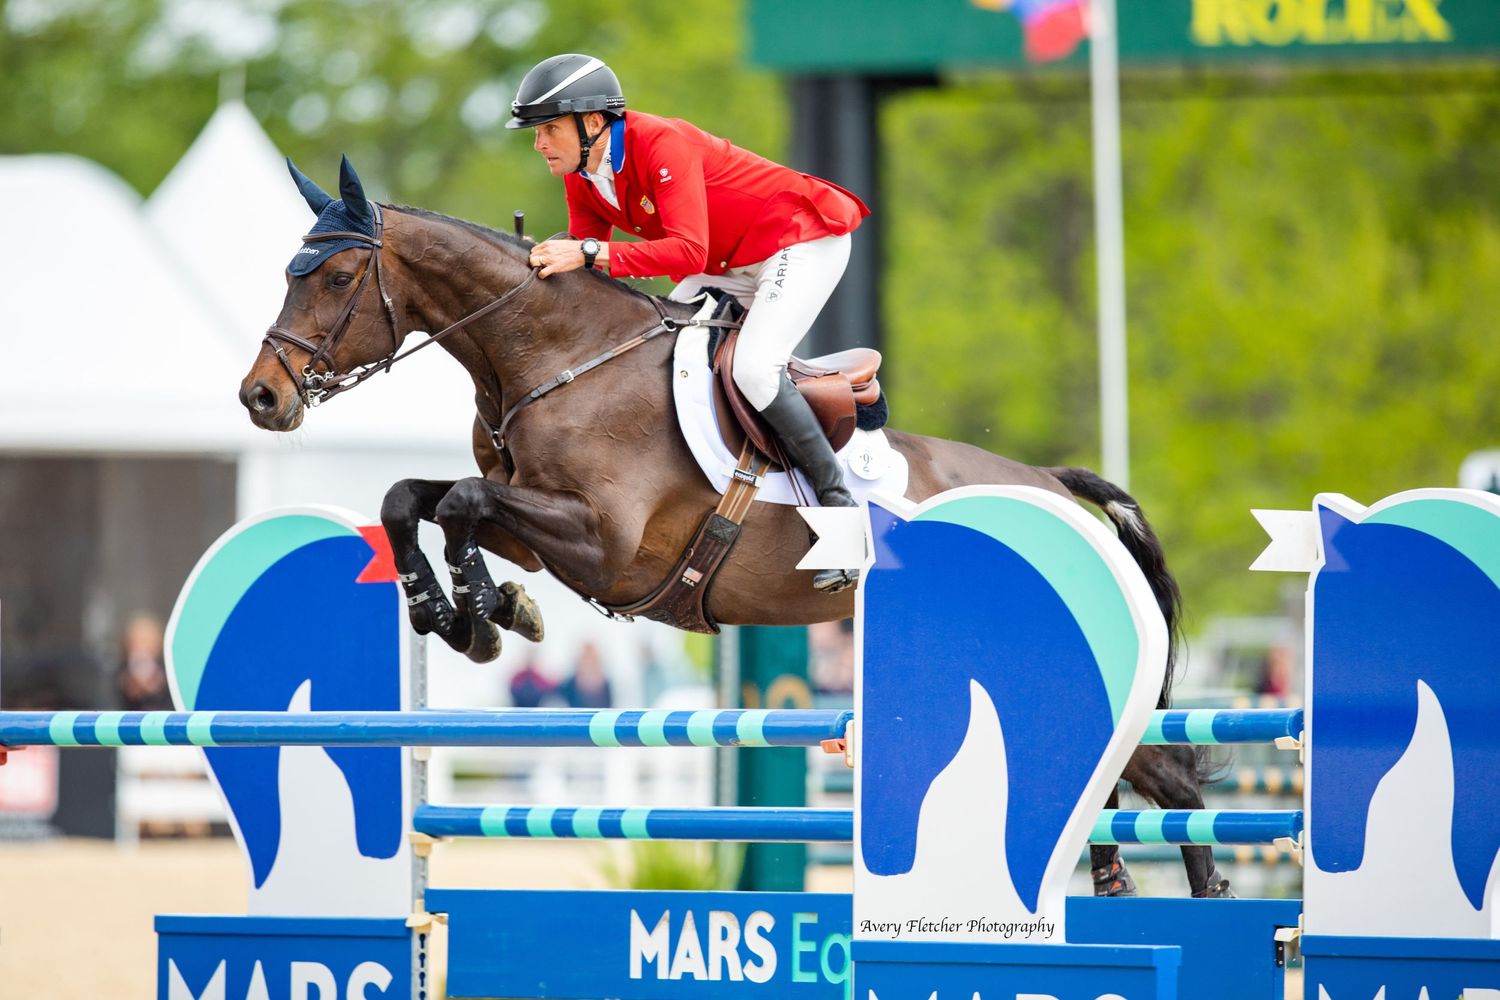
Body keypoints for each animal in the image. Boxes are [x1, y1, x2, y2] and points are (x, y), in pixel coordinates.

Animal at [238, 157, 1232, 898]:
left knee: (1174, 783)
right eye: (287, 273)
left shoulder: (603, 543)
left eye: (335, 275)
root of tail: (1052, 485)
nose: (261, 398)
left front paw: (487, 614)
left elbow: (459, 506)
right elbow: (411, 499)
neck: (560, 357)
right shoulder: (539, 525)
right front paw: (454, 614)